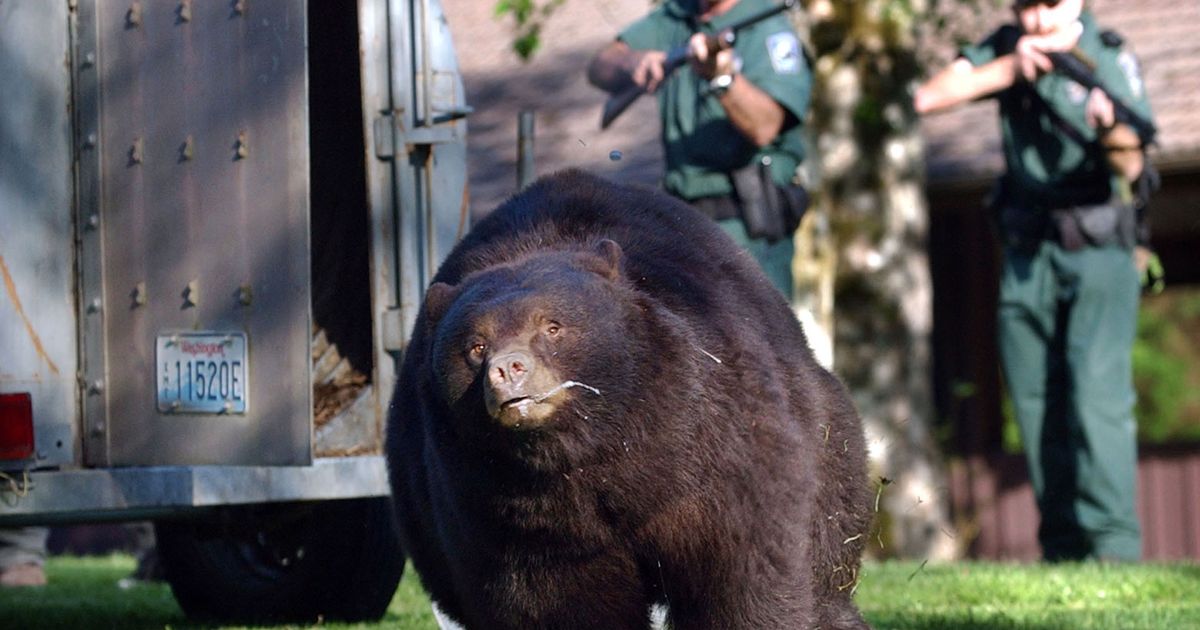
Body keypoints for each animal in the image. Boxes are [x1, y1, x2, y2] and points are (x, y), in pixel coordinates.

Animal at [386, 170, 873, 629]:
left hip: (827, 435)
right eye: (475, 346)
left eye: (552, 326)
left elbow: (744, 569)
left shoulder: (716, 450)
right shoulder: (511, 517)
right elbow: (557, 603)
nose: (508, 369)